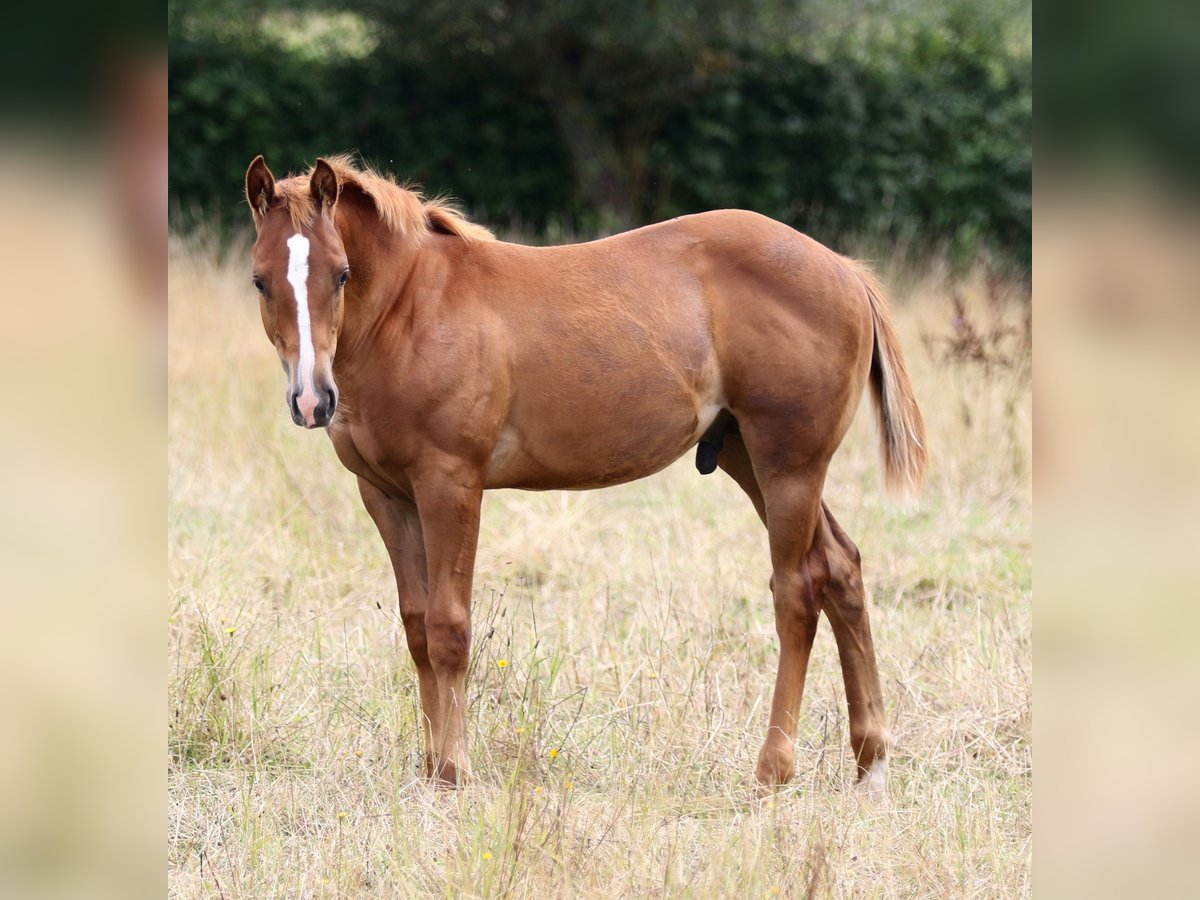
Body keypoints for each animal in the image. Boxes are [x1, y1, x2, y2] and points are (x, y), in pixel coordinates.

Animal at [244, 154, 926, 793]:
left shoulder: (450, 482)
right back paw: (871, 764)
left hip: (788, 463)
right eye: (260, 280)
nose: (312, 400)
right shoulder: (386, 494)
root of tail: (845, 270)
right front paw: (432, 768)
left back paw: (773, 770)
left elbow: (448, 627)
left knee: (797, 590)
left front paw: (455, 771)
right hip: (746, 456)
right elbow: (416, 629)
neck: (410, 310)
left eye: (342, 273)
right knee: (841, 567)